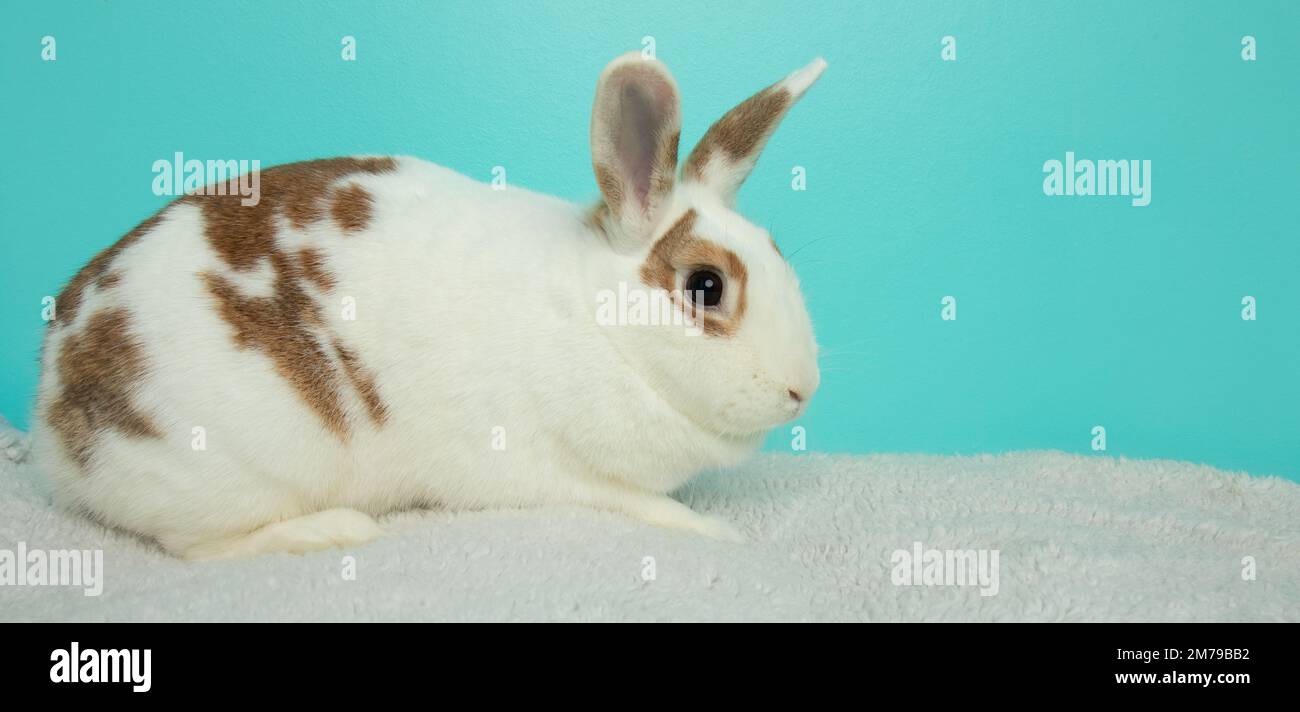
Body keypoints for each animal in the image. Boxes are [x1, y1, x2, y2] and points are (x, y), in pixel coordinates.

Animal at [29, 52, 825, 560]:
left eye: (778, 251)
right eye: (705, 286)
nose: (803, 390)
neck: (600, 323)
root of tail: (51, 416)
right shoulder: (556, 474)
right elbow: (647, 507)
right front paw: (720, 535)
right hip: (237, 469)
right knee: (196, 548)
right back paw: (336, 531)